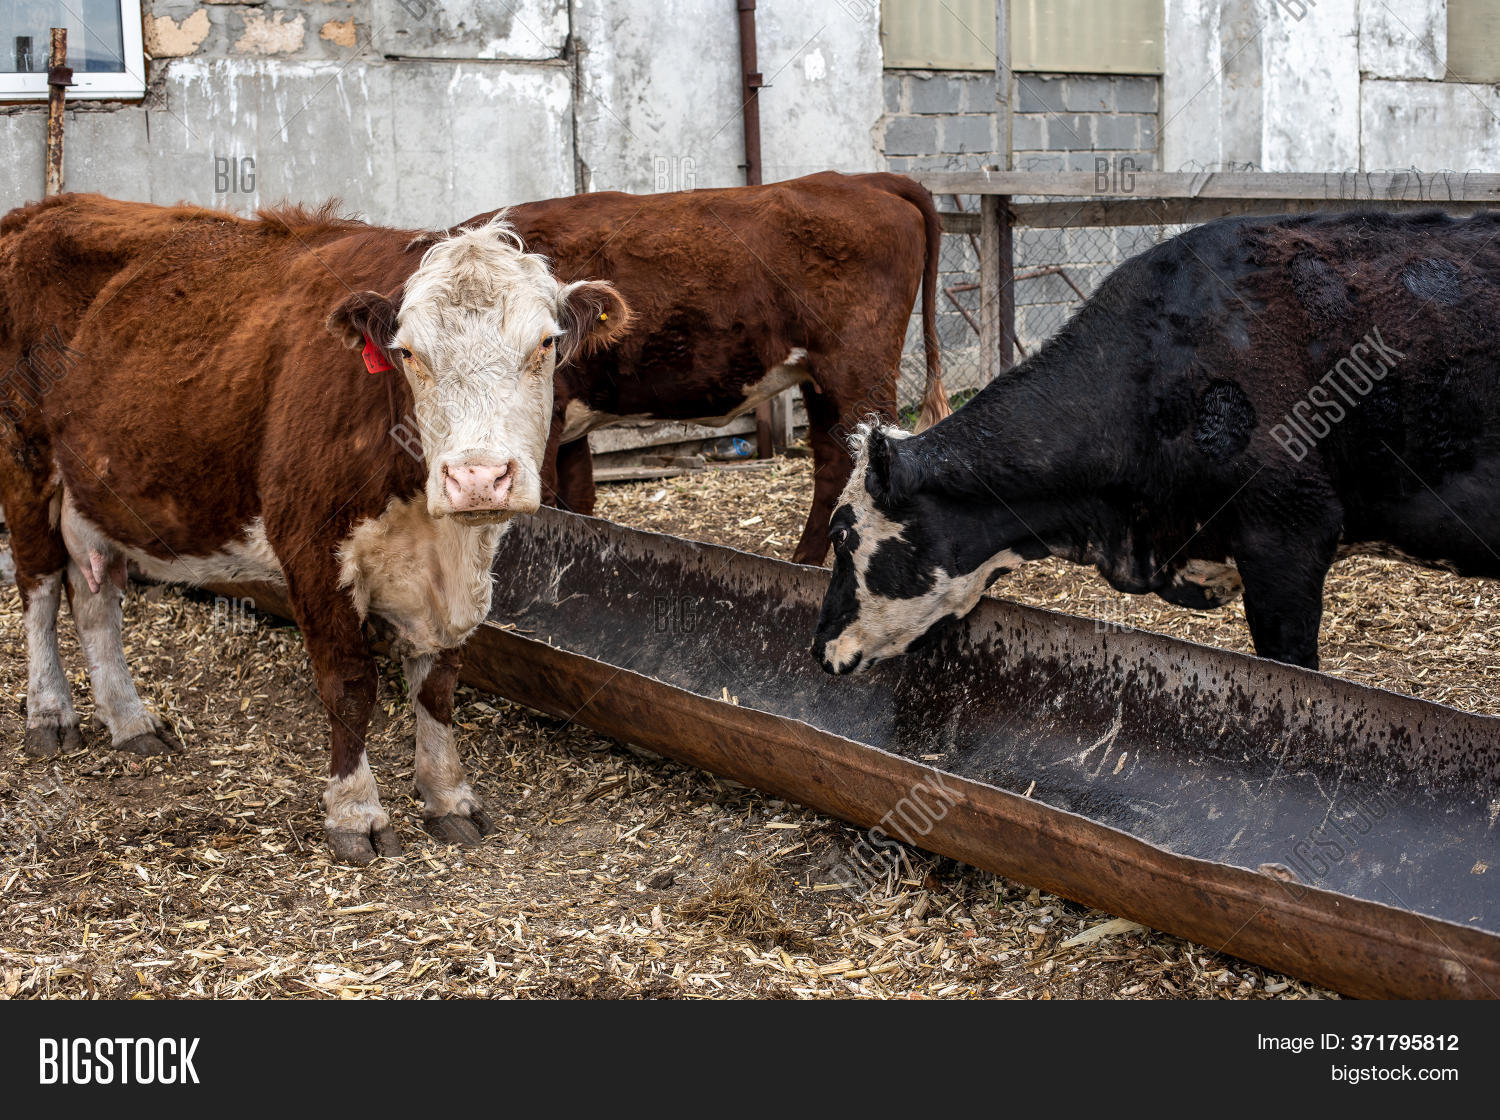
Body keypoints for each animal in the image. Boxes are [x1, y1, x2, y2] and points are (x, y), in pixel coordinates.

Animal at [0, 194, 628, 863]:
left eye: (546, 343)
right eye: (409, 352)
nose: (477, 477)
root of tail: (46, 206)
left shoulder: (450, 575)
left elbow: (438, 684)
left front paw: (448, 798)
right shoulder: (309, 548)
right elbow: (349, 684)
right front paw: (355, 814)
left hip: (95, 495)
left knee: (95, 601)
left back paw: (130, 721)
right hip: (26, 463)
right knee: (39, 589)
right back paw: (49, 713)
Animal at [481, 171, 950, 564]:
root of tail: (868, 179)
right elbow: (575, 504)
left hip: (858, 372)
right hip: (822, 382)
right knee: (833, 462)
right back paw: (804, 563)